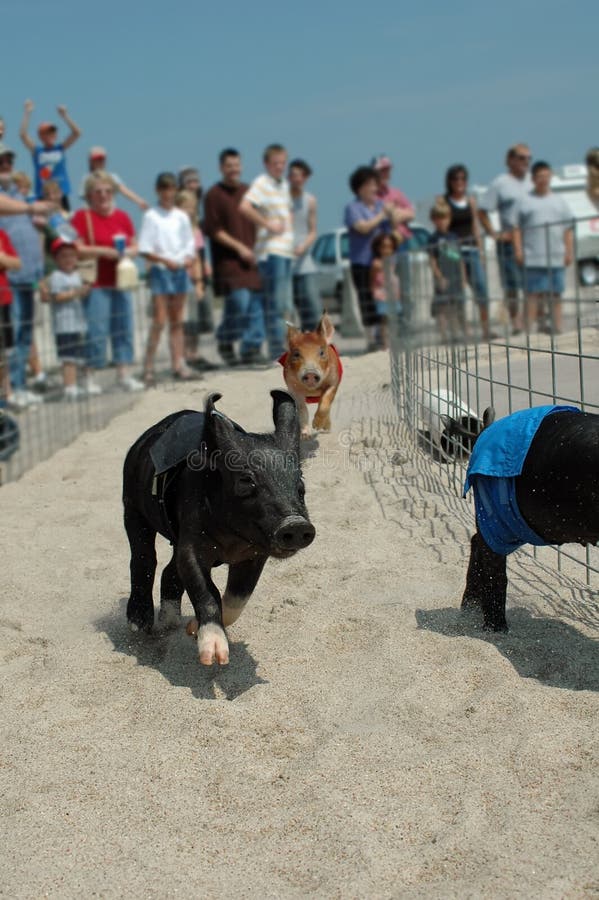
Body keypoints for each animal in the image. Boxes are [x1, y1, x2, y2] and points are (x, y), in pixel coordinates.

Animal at [122, 390, 315, 665]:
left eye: (299, 482)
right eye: (246, 480)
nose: (296, 524)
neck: (232, 540)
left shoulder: (255, 555)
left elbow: (239, 595)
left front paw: (191, 629)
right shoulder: (192, 543)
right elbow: (204, 589)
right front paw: (214, 657)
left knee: (170, 570)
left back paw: (170, 623)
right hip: (131, 504)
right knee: (143, 557)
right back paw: (139, 626)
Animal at [461, 404, 599, 632]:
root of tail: (486, 430)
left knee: (477, 541)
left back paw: (469, 609)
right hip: (497, 512)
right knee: (490, 555)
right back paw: (496, 628)